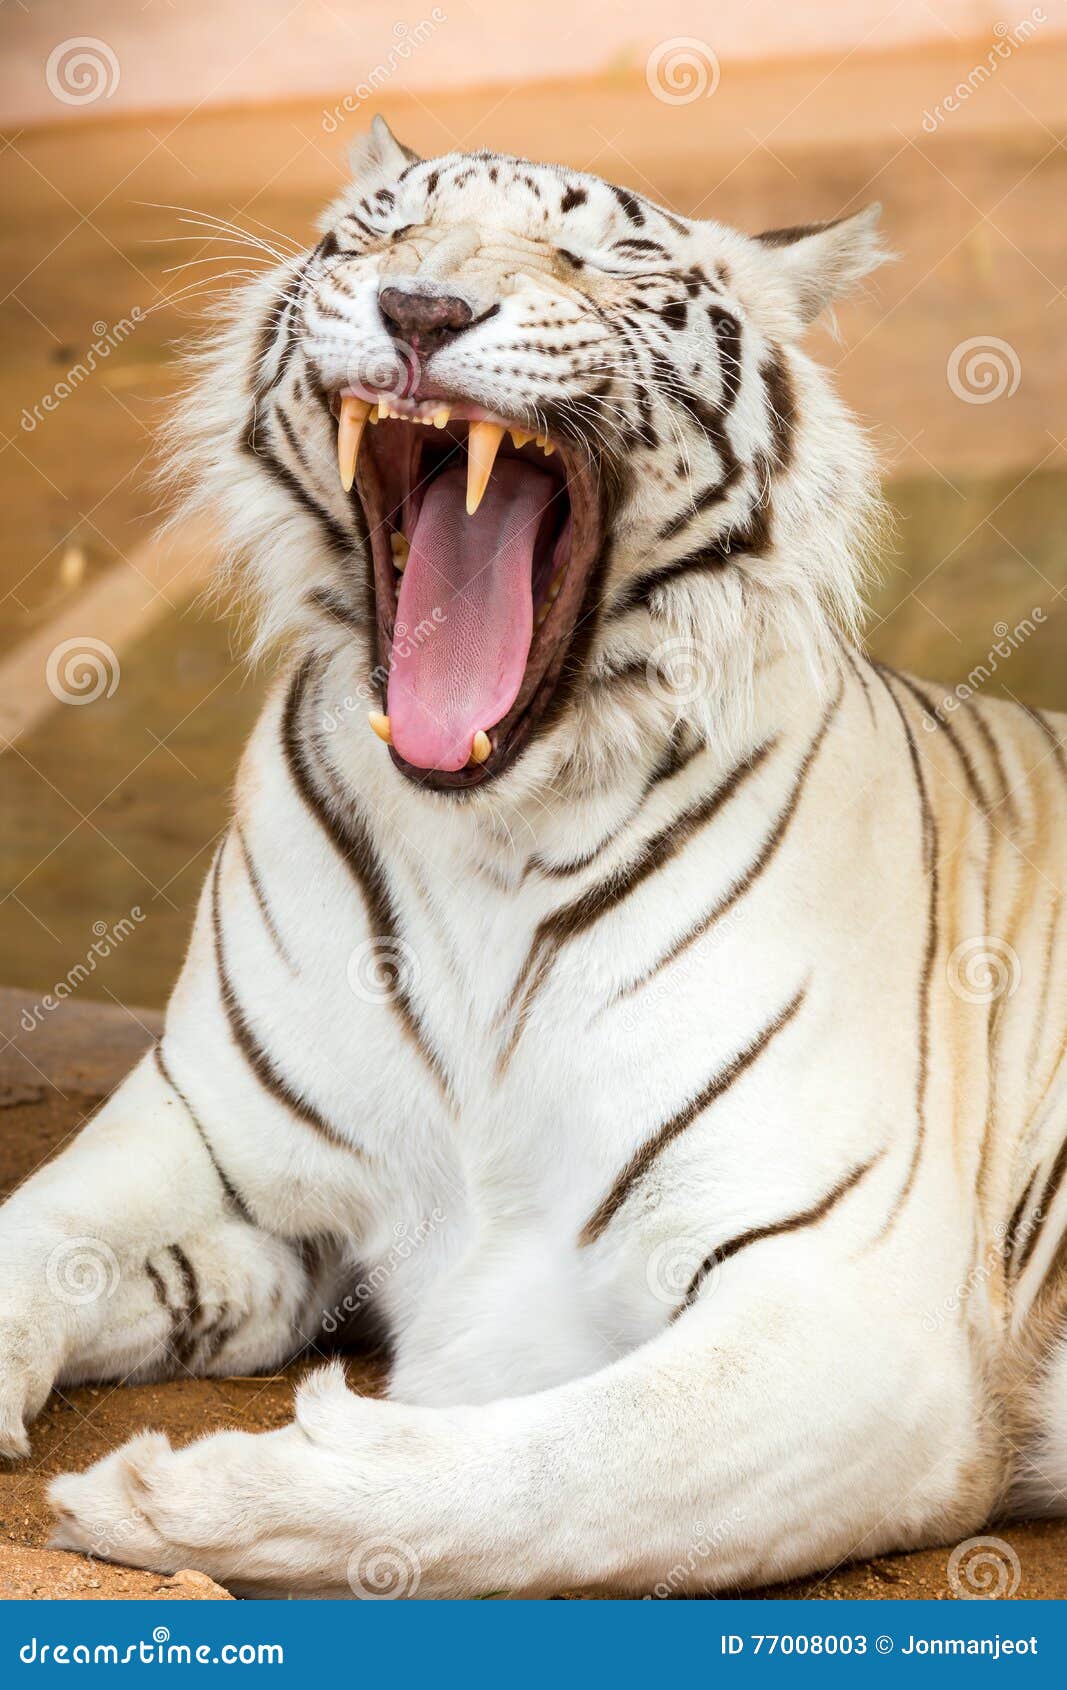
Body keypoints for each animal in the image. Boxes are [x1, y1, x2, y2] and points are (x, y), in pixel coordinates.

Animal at [1, 116, 1065, 1600]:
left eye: (596, 257)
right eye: (379, 230)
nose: (418, 309)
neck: (481, 841)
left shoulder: (834, 1307)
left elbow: (546, 1479)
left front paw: (180, 1495)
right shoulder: (198, 1143)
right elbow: (26, 1246)